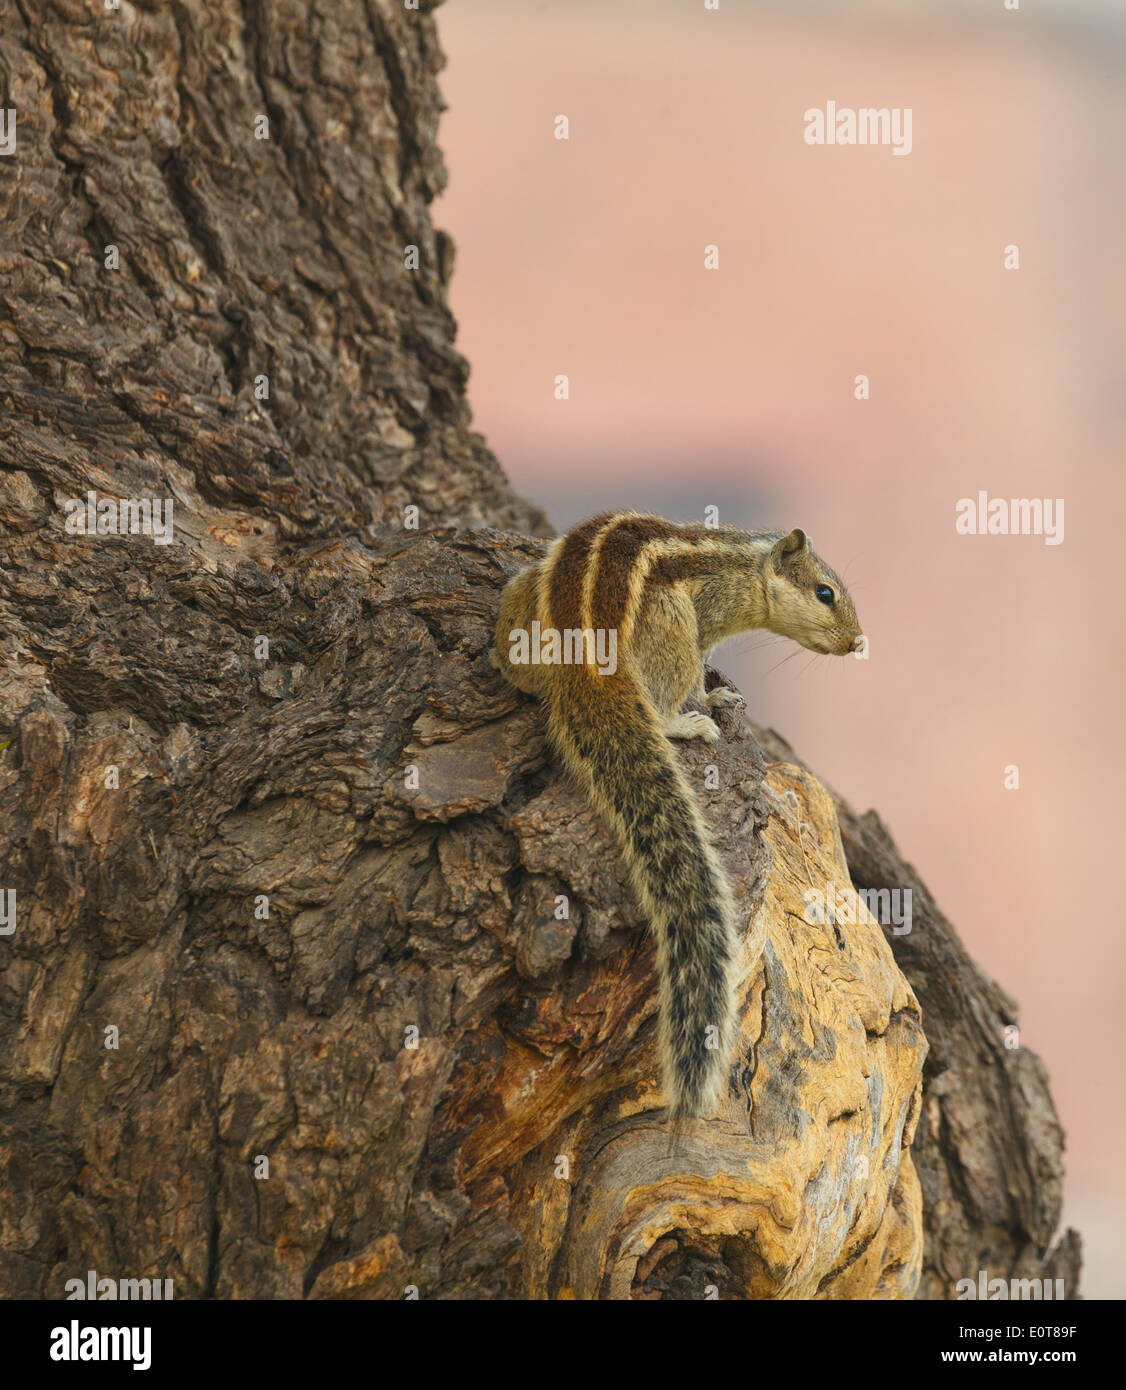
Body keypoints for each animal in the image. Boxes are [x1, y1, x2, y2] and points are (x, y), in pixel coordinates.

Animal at [491, 512, 863, 1120]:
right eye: (824, 592)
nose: (857, 642)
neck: (743, 564)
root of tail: (584, 663)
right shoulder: (708, 617)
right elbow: (700, 675)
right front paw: (715, 698)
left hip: (525, 600)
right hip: (672, 626)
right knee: (665, 694)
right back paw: (686, 723)